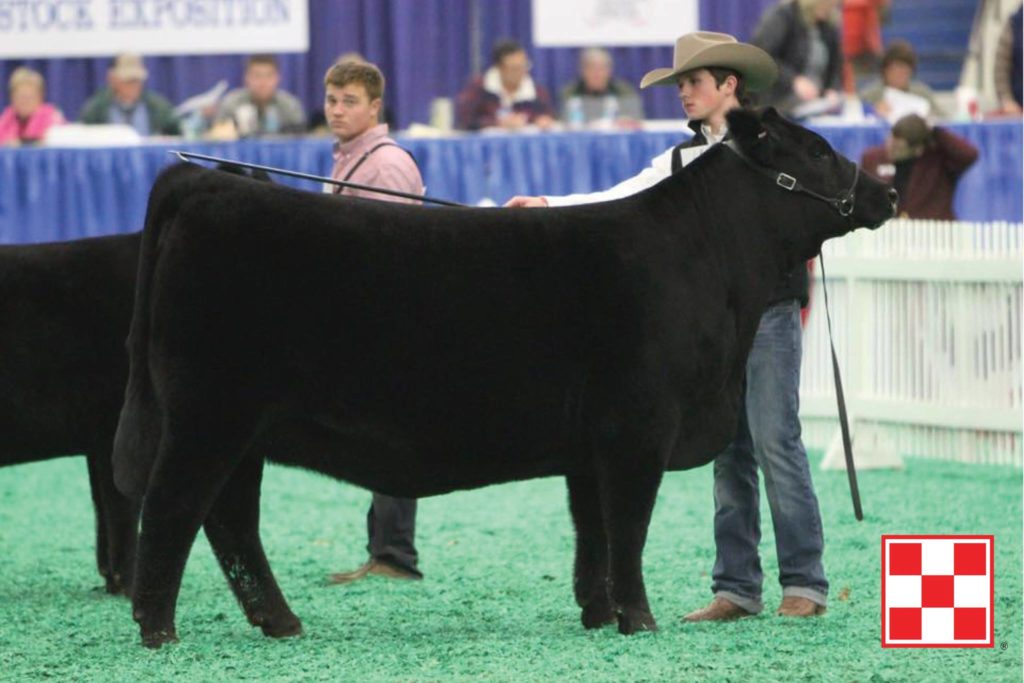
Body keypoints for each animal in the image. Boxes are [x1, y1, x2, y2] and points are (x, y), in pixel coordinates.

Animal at [0, 233, 141, 594]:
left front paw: (110, 578)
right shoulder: (113, 425)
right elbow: (121, 507)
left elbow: (102, 506)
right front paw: (127, 584)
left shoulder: (97, 441)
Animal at [113, 107, 897, 647]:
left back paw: (280, 622)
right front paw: (639, 620)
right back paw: (158, 630)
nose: (886, 193)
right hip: (208, 414)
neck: (704, 262)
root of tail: (203, 181)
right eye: (817, 149)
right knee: (176, 507)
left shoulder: (590, 445)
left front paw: (598, 614)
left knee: (230, 520)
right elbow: (628, 528)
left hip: (243, 429)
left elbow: (594, 533)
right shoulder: (637, 430)